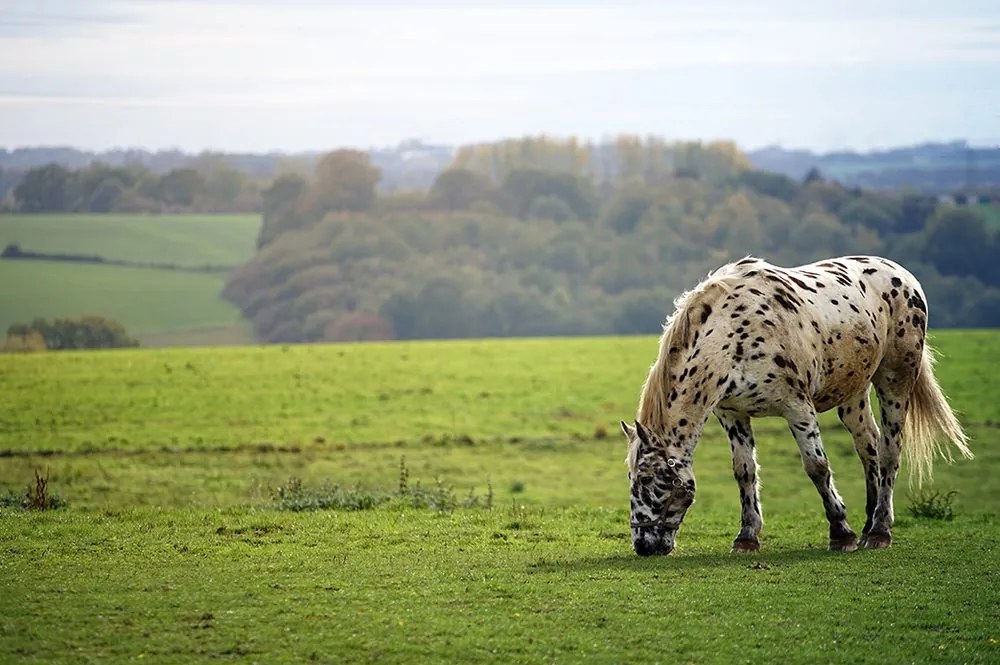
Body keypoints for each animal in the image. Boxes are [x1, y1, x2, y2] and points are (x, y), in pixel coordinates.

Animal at [620, 254, 972, 556]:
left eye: (649, 479)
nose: (643, 545)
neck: (733, 336)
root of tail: (905, 276)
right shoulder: (732, 414)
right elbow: (744, 471)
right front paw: (747, 537)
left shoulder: (798, 407)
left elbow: (817, 467)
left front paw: (841, 532)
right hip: (853, 393)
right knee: (868, 446)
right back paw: (869, 523)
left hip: (894, 380)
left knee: (889, 451)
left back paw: (879, 531)